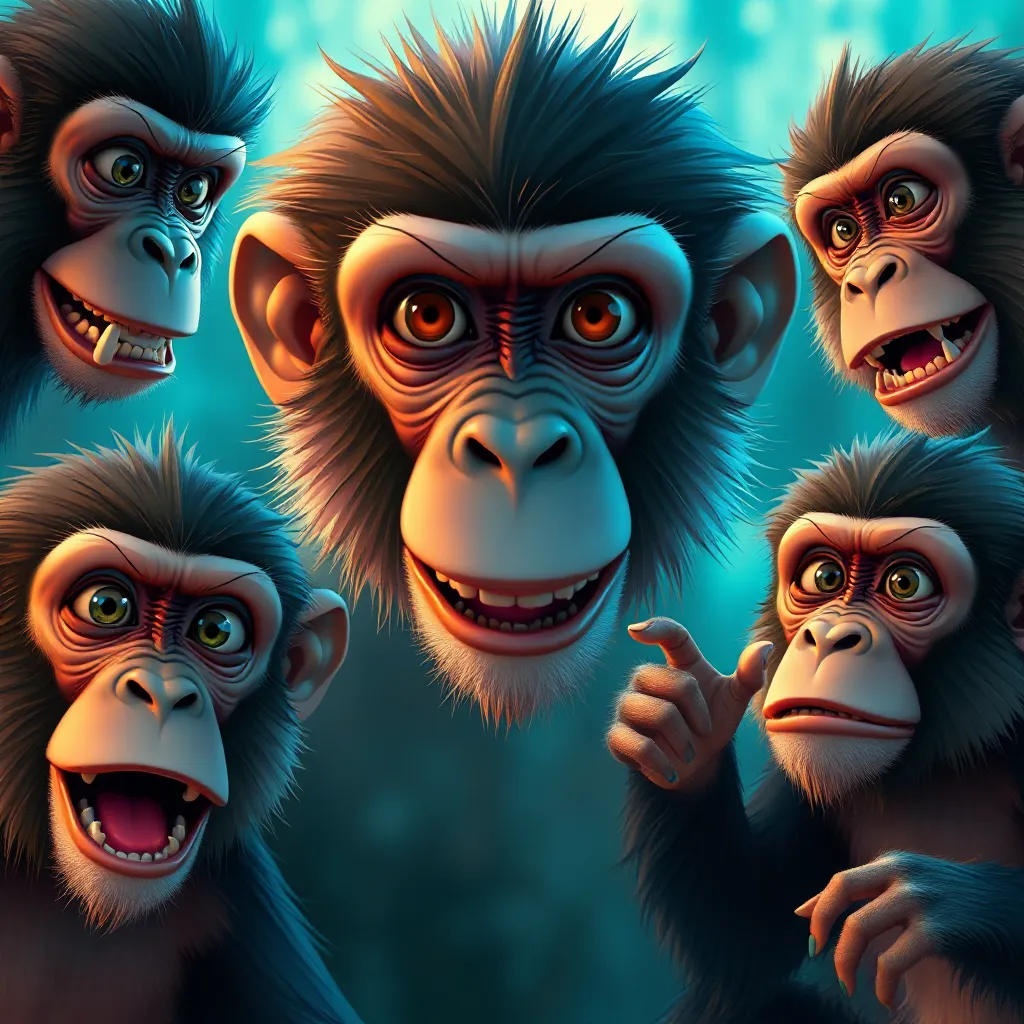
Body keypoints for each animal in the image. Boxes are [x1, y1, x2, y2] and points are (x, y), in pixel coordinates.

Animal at [607, 432, 1024, 1024]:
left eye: (905, 582)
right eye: (824, 577)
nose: (828, 637)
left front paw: (938, 901)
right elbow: (748, 939)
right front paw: (685, 729)